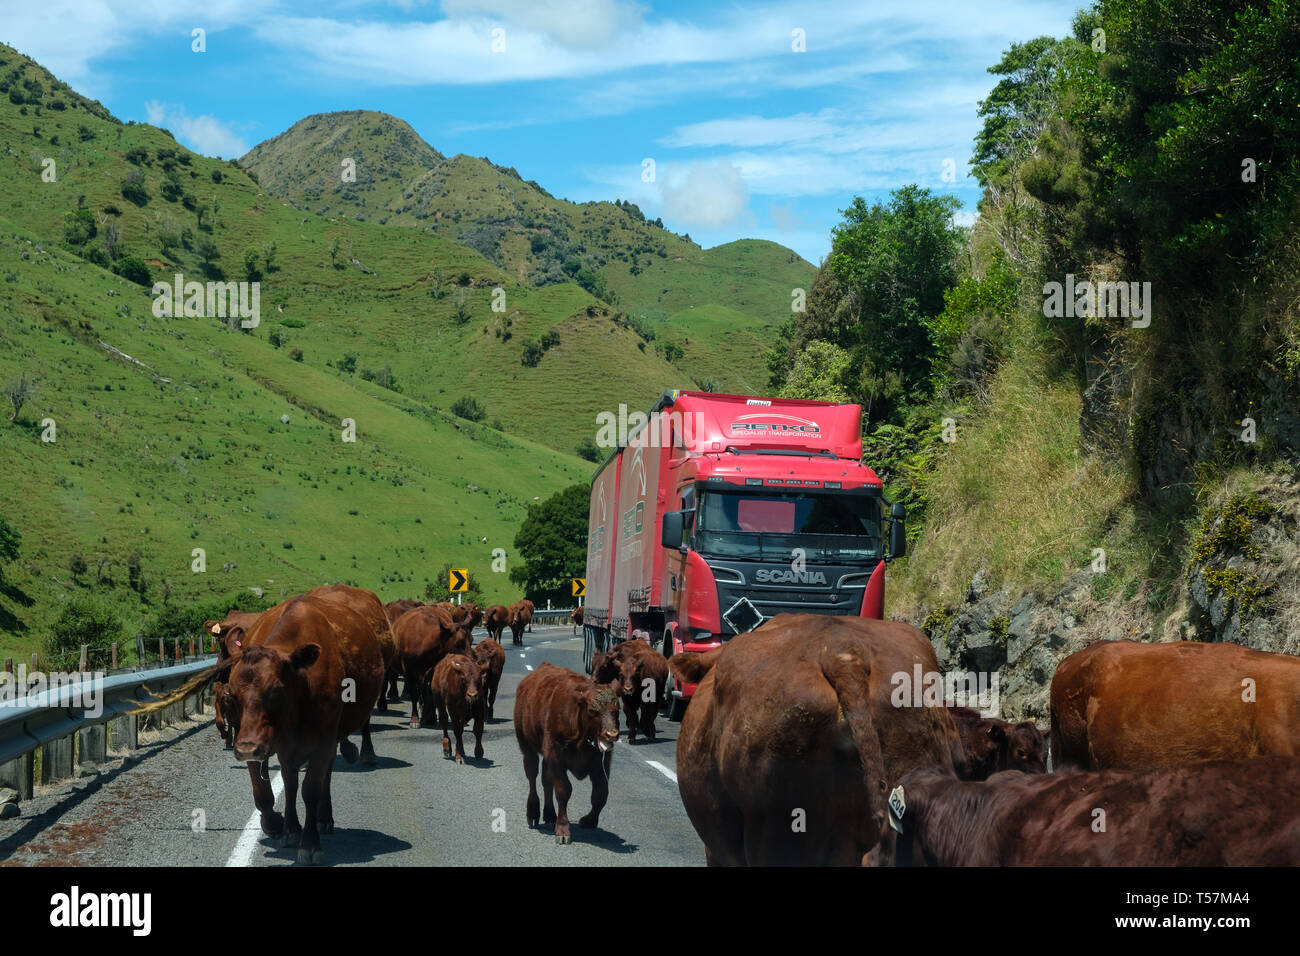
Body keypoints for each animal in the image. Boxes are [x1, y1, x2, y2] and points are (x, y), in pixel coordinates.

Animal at [225, 594, 385, 864]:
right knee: (290, 783)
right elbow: (264, 792)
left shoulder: (322, 741)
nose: (247, 748)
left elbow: (311, 789)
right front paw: (277, 824)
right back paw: (291, 828)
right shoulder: (256, 738)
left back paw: (323, 817)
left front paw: (310, 844)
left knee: (324, 777)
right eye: (232, 693)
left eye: (276, 689)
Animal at [513, 662, 621, 844]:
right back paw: (533, 813)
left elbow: (601, 793)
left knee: (546, 782)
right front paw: (563, 830)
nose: (611, 734)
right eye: (592, 710)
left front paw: (589, 821)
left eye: (617, 709)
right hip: (527, 748)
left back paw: (550, 816)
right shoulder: (556, 757)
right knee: (532, 777)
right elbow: (563, 790)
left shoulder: (601, 762)